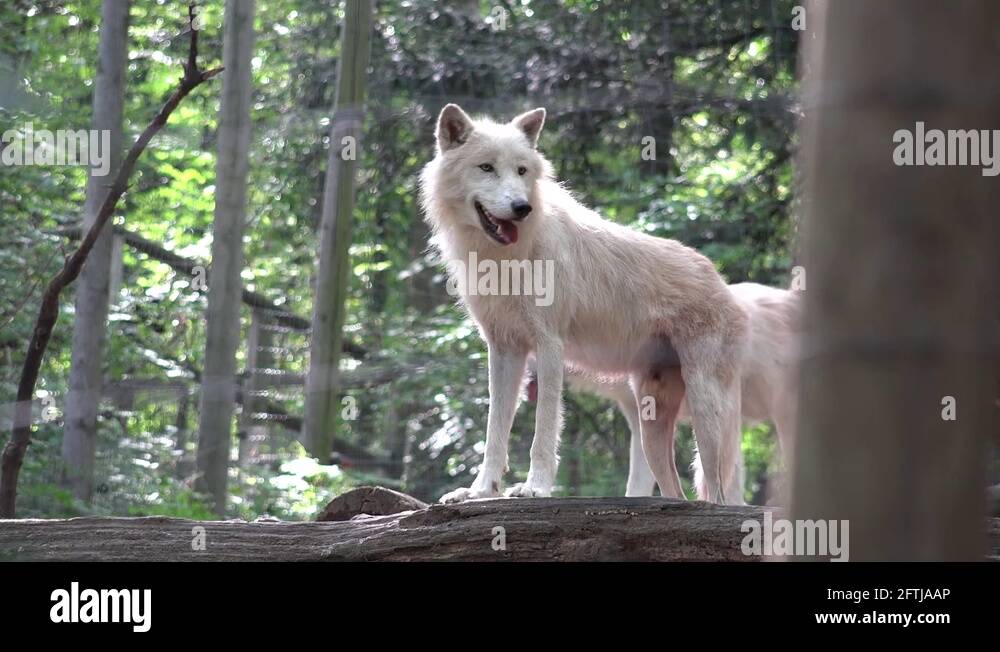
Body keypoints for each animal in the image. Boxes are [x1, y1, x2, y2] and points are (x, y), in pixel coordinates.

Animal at [421, 104, 749, 504]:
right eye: (486, 167)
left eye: (521, 170)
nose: (521, 207)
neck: (507, 258)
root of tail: (722, 283)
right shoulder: (504, 349)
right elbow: (494, 431)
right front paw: (481, 491)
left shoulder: (549, 345)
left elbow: (545, 428)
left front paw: (535, 487)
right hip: (651, 425)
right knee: (677, 491)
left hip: (704, 413)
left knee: (716, 494)